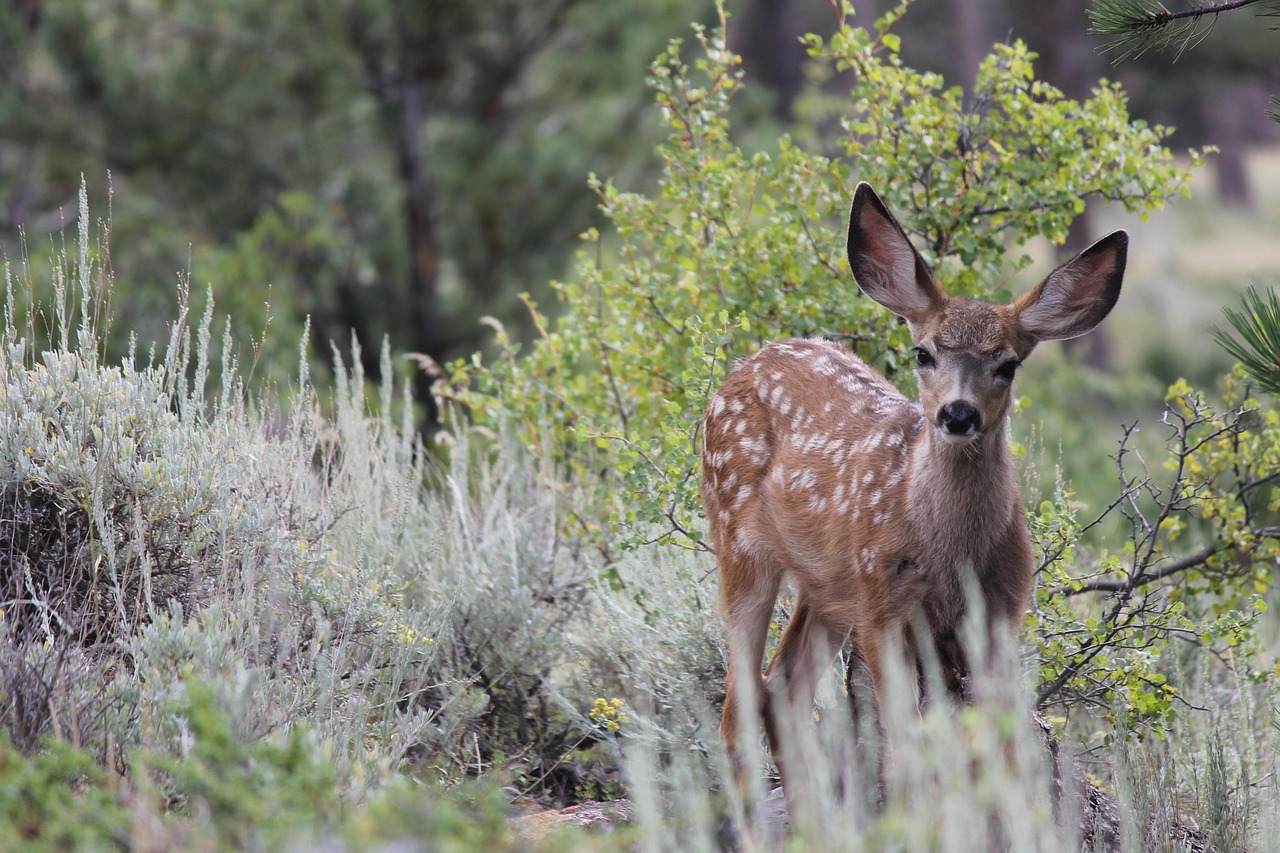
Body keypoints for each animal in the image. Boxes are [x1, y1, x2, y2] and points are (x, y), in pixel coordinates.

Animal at [701, 182, 1127, 773]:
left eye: (1008, 364)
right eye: (923, 353)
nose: (957, 414)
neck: (949, 549)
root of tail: (746, 363)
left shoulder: (1000, 609)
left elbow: (1000, 745)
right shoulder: (884, 600)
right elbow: (906, 744)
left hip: (828, 584)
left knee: (780, 688)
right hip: (740, 540)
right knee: (736, 703)